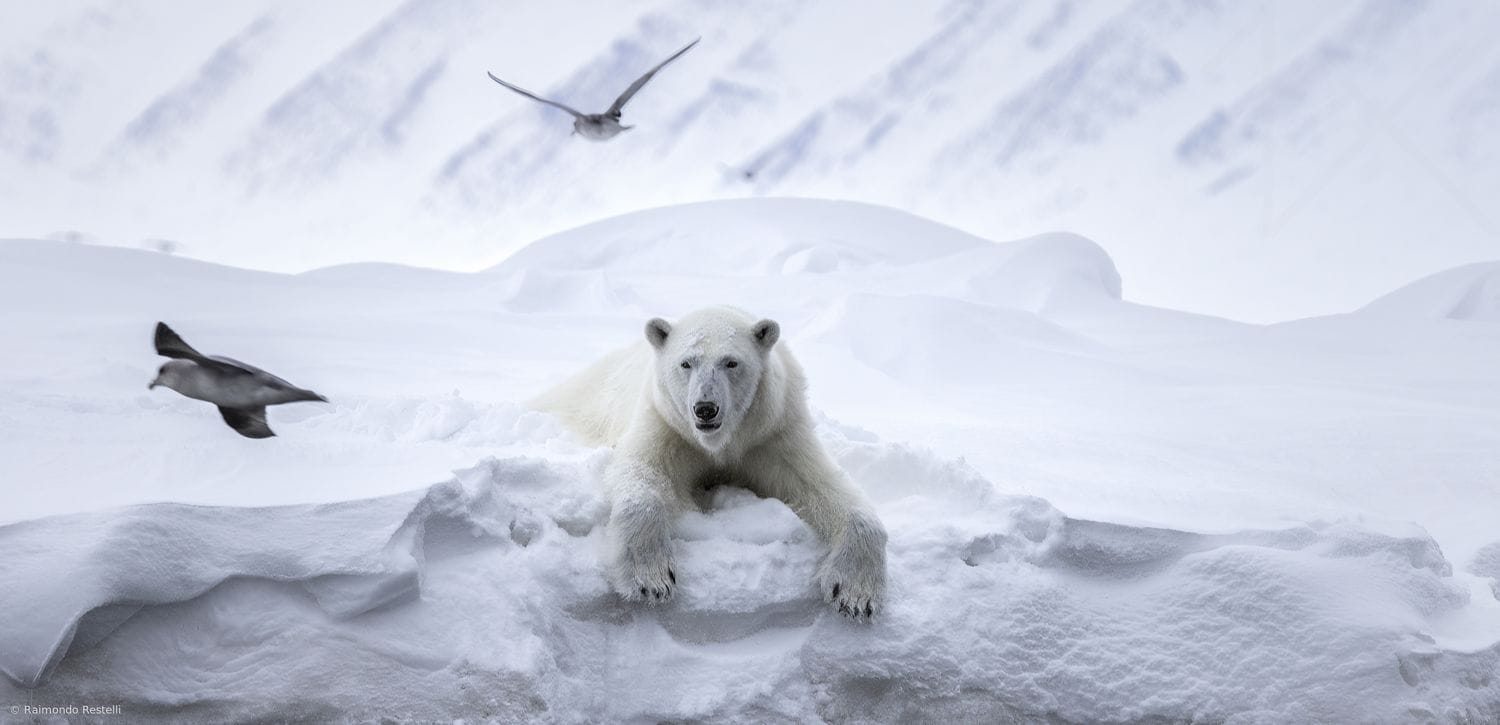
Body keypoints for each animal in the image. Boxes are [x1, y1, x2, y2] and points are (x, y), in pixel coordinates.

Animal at [532, 306, 888, 620]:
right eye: (686, 363)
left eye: (731, 362)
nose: (705, 409)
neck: (720, 442)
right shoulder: (669, 425)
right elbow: (642, 469)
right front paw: (652, 580)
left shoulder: (772, 432)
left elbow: (817, 482)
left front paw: (855, 594)